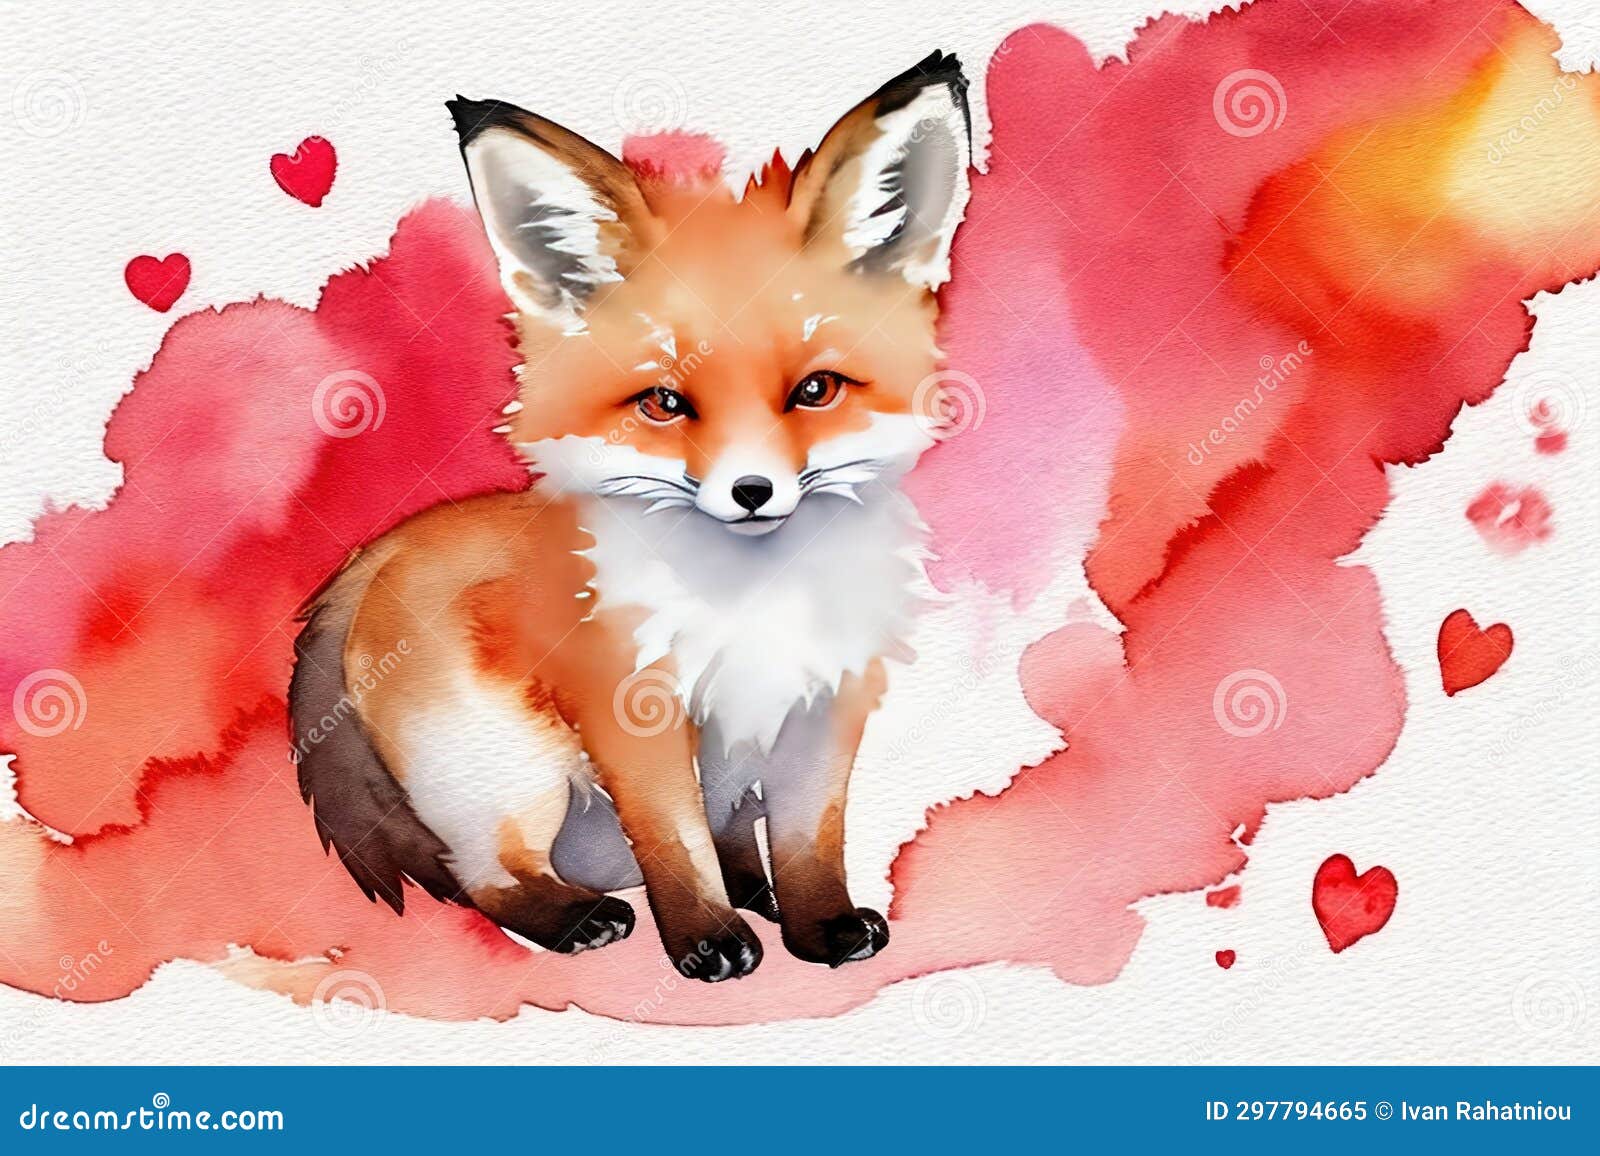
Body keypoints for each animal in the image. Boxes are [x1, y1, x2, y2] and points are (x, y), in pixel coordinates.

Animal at [289, 52, 972, 982]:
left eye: (815, 389)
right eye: (663, 402)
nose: (751, 491)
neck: (751, 606)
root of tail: (373, 559)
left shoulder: (821, 712)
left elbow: (809, 842)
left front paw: (820, 926)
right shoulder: (634, 712)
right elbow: (673, 845)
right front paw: (706, 940)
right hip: (509, 771)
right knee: (485, 875)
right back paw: (577, 915)